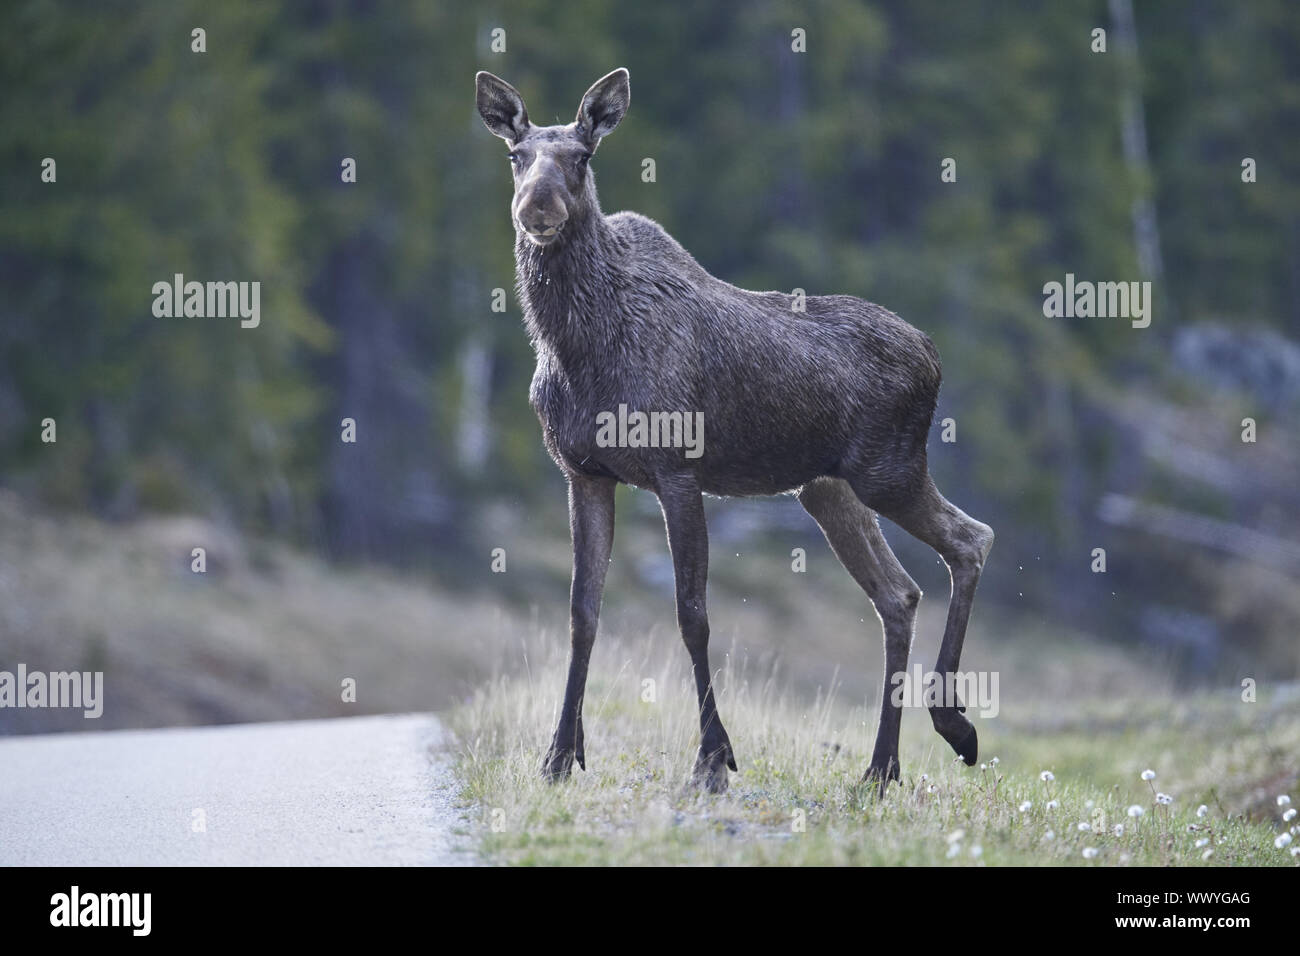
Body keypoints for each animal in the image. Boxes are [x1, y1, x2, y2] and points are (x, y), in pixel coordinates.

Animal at [475, 67, 994, 794]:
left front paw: (713, 758)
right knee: (899, 592)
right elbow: (582, 613)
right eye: (517, 155)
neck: (576, 348)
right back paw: (880, 767)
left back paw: (953, 724)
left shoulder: (677, 470)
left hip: (888, 469)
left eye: (581, 157)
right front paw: (558, 757)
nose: (537, 208)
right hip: (827, 489)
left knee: (971, 539)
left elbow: (693, 614)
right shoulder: (584, 472)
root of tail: (934, 354)